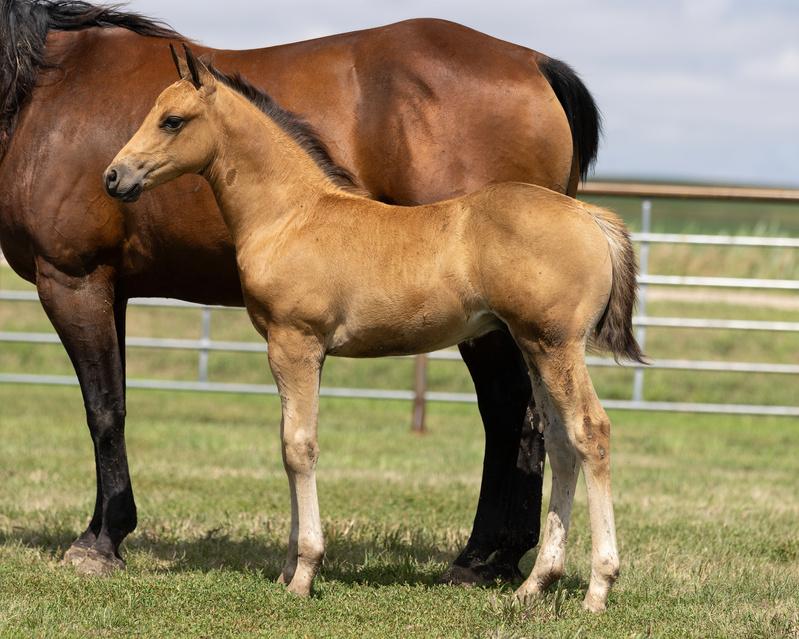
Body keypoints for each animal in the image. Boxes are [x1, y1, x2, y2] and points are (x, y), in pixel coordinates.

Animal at [0, 0, 601, 581]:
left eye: (171, 120)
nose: (114, 177)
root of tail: (536, 63)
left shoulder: (75, 279)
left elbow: (106, 411)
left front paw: (99, 543)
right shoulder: (116, 290)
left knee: (513, 413)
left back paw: (484, 559)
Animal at [104, 46, 642, 612]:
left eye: (172, 120)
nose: (114, 177)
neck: (291, 215)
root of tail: (589, 215)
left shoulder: (296, 343)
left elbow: (299, 446)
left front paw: (304, 573)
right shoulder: (293, 350)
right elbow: (287, 446)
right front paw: (287, 569)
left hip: (556, 345)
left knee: (590, 432)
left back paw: (598, 587)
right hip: (534, 345)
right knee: (561, 442)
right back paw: (535, 583)